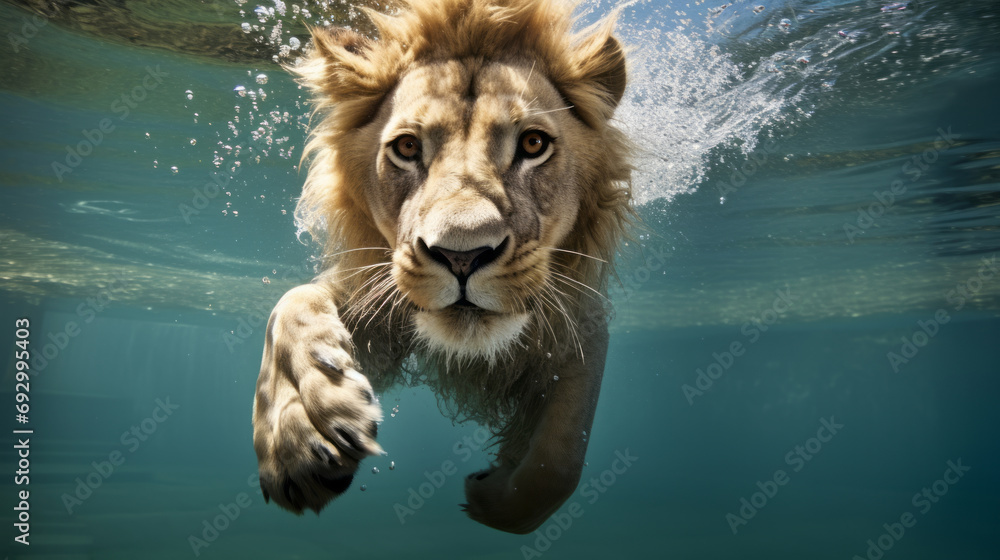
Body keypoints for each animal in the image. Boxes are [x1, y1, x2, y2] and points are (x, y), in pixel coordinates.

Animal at [252, 0, 632, 534]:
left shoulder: (582, 328)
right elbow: (290, 305)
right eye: (408, 148)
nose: (462, 255)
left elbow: (557, 463)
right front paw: (301, 428)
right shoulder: (377, 302)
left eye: (533, 145)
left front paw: (488, 495)